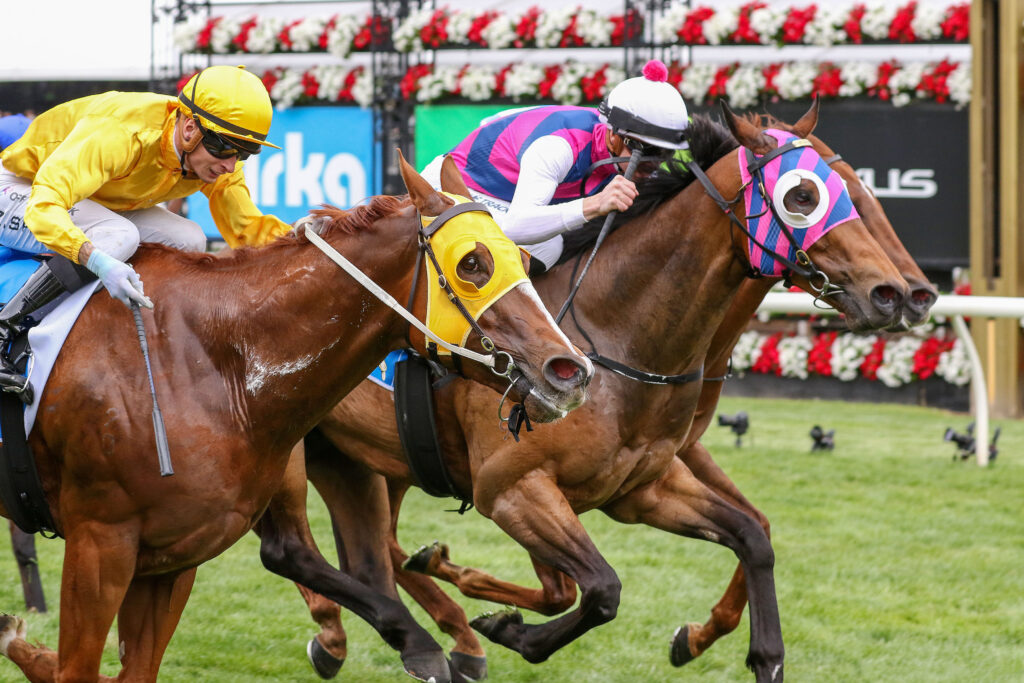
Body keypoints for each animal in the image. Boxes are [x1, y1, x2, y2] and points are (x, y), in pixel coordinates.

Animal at [0, 153, 593, 683]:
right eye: (472, 264)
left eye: (524, 259)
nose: (570, 371)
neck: (202, 357)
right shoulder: (101, 544)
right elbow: (76, 669)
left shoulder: (173, 556)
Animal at [273, 100, 917, 683]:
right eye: (803, 196)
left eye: (852, 194)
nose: (896, 293)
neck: (617, 339)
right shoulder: (511, 489)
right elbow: (599, 589)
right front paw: (508, 629)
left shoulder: (644, 488)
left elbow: (753, 535)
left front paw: (752, 652)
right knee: (306, 542)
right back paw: (357, 632)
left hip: (370, 456)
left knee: (374, 547)